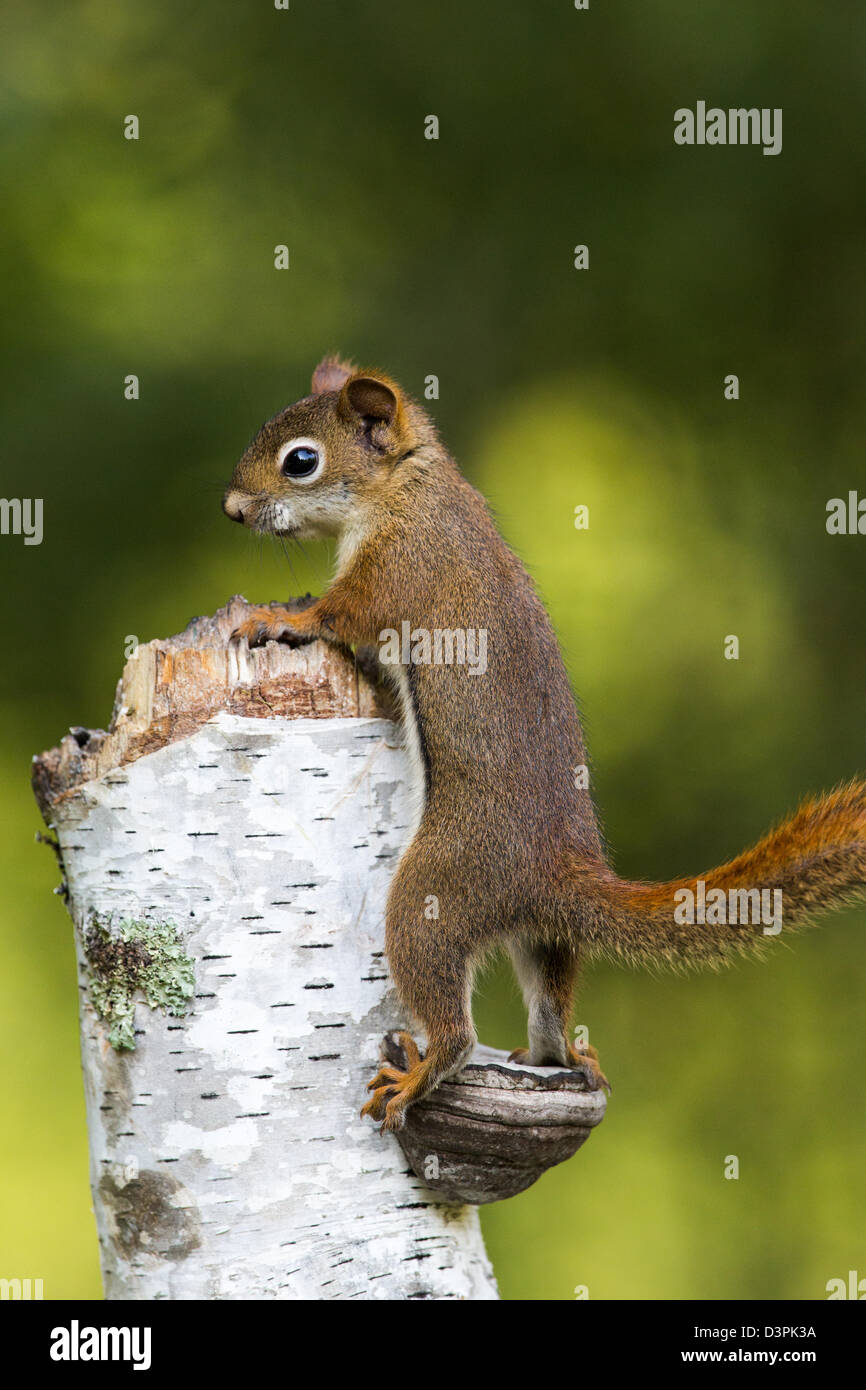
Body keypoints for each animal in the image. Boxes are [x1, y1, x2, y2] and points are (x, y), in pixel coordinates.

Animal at [223, 355, 866, 1132]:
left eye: (302, 461)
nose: (232, 508)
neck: (410, 488)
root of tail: (553, 873)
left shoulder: (399, 568)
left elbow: (340, 614)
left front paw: (275, 617)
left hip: (435, 894)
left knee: (455, 1029)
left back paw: (420, 1076)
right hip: (544, 939)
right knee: (552, 1012)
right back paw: (557, 1055)